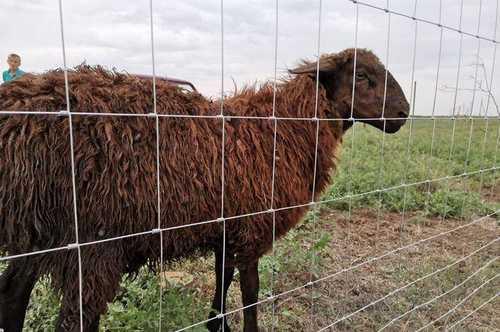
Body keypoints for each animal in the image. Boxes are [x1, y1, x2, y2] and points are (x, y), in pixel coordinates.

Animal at [0, 48, 406, 332]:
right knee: (74, 319)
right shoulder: (253, 228)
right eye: (362, 76)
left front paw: (216, 323)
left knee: (13, 296)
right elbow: (251, 293)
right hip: (91, 242)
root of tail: (16, 112)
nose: (403, 113)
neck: (281, 130)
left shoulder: (228, 228)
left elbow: (222, 278)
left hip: (38, 232)